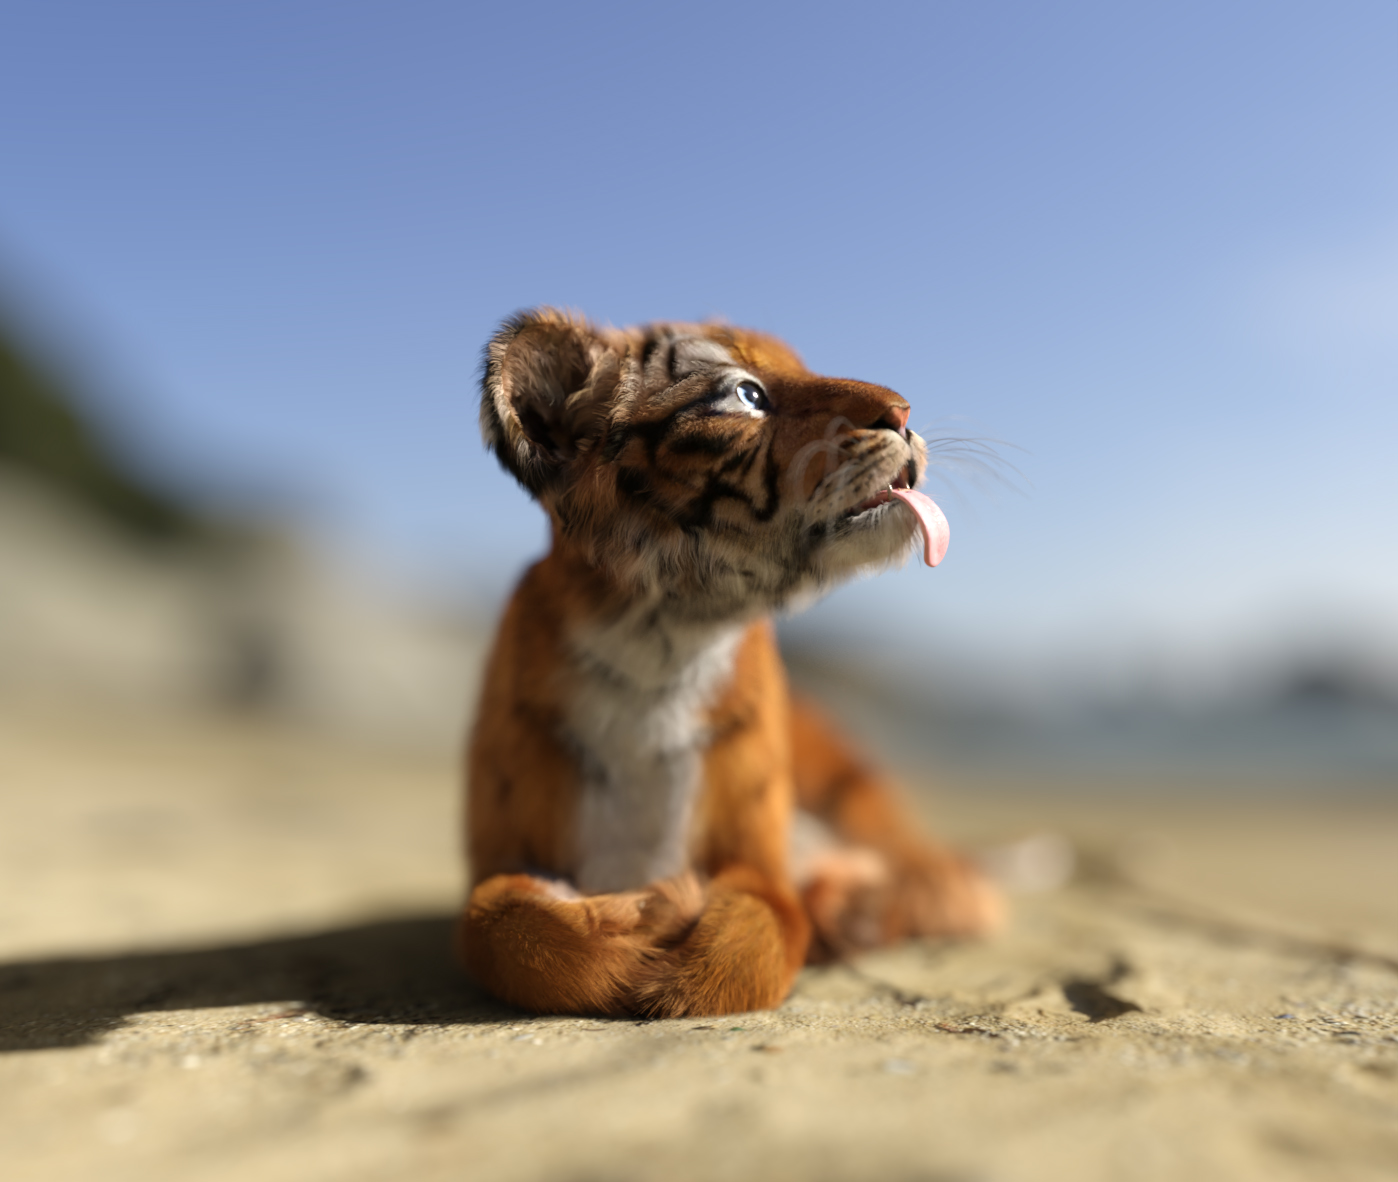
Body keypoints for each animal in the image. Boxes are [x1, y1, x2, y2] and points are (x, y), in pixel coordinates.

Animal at [458, 308, 1001, 1018]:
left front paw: (669, 907)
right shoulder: (497, 860)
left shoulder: (763, 870)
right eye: (746, 395)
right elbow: (507, 934)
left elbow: (738, 955)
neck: (660, 642)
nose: (905, 413)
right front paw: (636, 915)